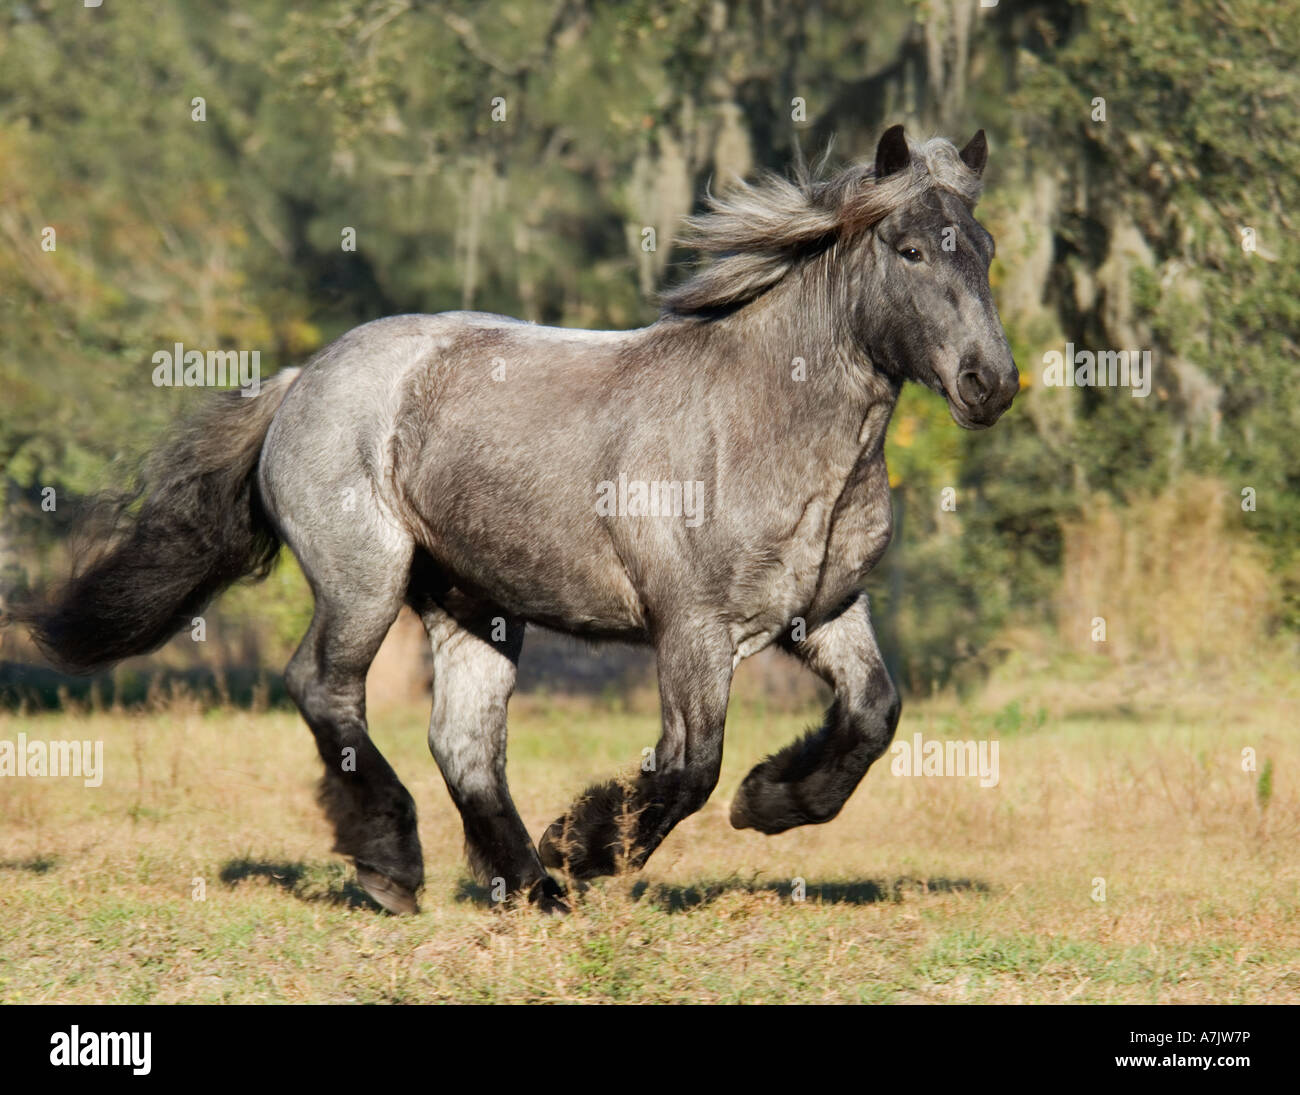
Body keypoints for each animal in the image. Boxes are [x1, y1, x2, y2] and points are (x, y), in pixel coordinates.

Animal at [16, 125, 1018, 914]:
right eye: (910, 249)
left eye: (985, 247)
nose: (990, 383)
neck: (761, 422)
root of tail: (302, 380)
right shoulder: (693, 629)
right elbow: (690, 764)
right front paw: (591, 845)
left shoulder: (824, 613)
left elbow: (873, 715)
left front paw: (768, 802)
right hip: (363, 580)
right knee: (324, 688)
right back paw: (397, 866)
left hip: (474, 606)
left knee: (462, 742)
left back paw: (529, 888)